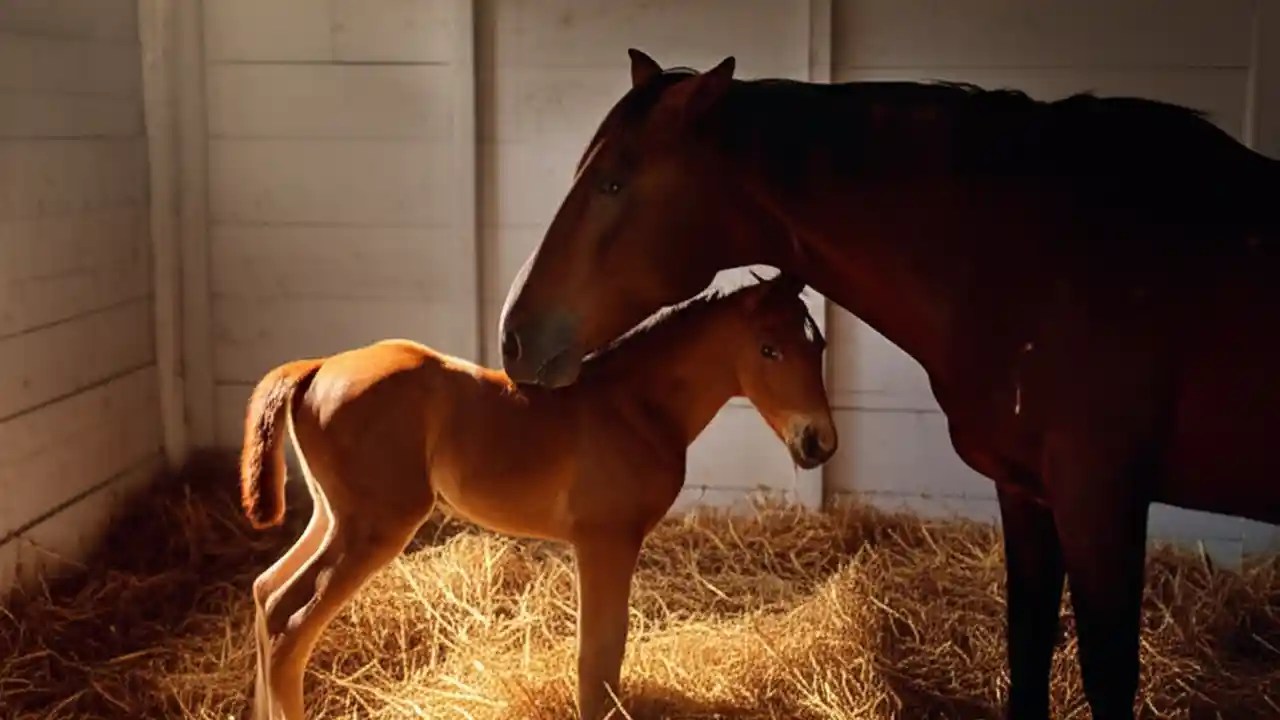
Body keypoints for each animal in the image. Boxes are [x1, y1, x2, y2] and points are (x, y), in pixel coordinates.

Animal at [238, 272, 836, 720]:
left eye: (818, 345)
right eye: (769, 349)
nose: (819, 442)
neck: (633, 406)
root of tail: (316, 367)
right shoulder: (605, 539)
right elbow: (599, 652)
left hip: (332, 515)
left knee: (267, 594)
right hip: (375, 525)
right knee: (290, 624)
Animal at [496, 49, 1280, 719]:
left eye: (613, 182)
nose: (512, 336)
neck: (1032, 258)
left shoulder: (1100, 497)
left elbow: (1106, 672)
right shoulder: (1029, 491)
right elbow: (1028, 645)